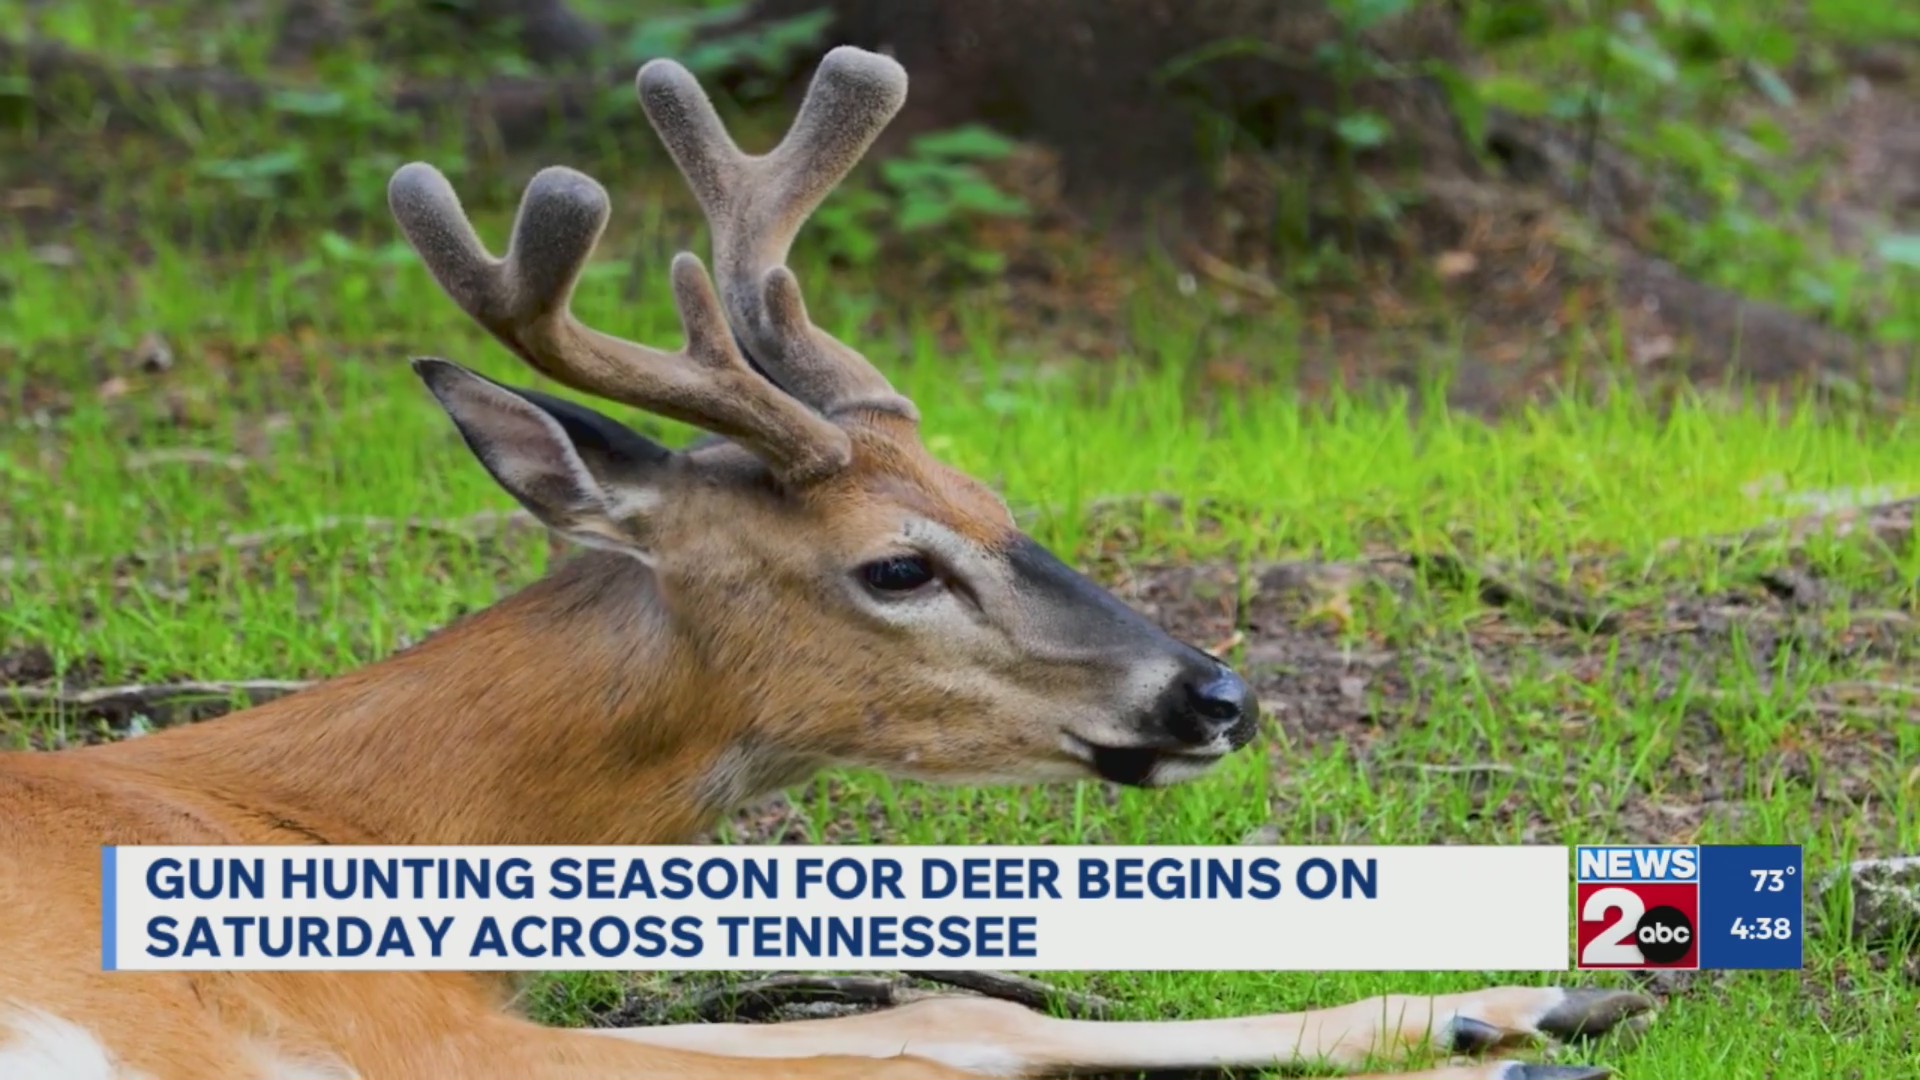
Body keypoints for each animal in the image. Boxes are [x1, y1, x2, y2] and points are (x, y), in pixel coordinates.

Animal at [0, 45, 1653, 1080]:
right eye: (895, 567)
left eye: (992, 495)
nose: (1217, 696)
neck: (333, 823)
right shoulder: (384, 1034)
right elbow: (921, 1046)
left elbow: (958, 1006)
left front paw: (1507, 1007)